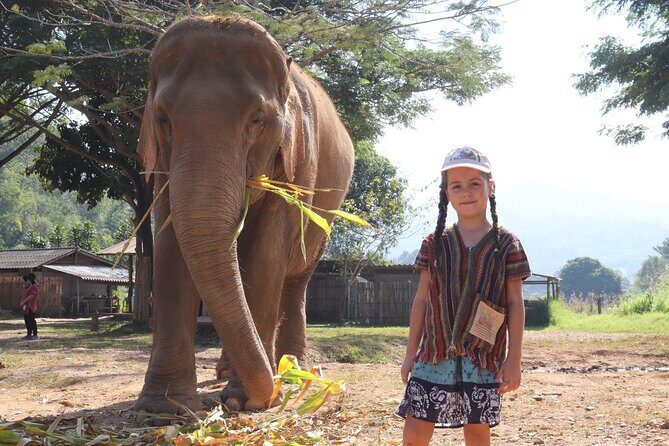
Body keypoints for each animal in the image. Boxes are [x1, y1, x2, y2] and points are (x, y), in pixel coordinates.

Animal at [134, 15, 354, 412]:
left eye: (257, 119)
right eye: (162, 118)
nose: (262, 393)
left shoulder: (300, 162)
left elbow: (266, 253)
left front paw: (245, 399)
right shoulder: (159, 161)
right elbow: (170, 243)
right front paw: (163, 407)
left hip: (327, 214)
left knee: (296, 280)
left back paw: (295, 369)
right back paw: (234, 370)